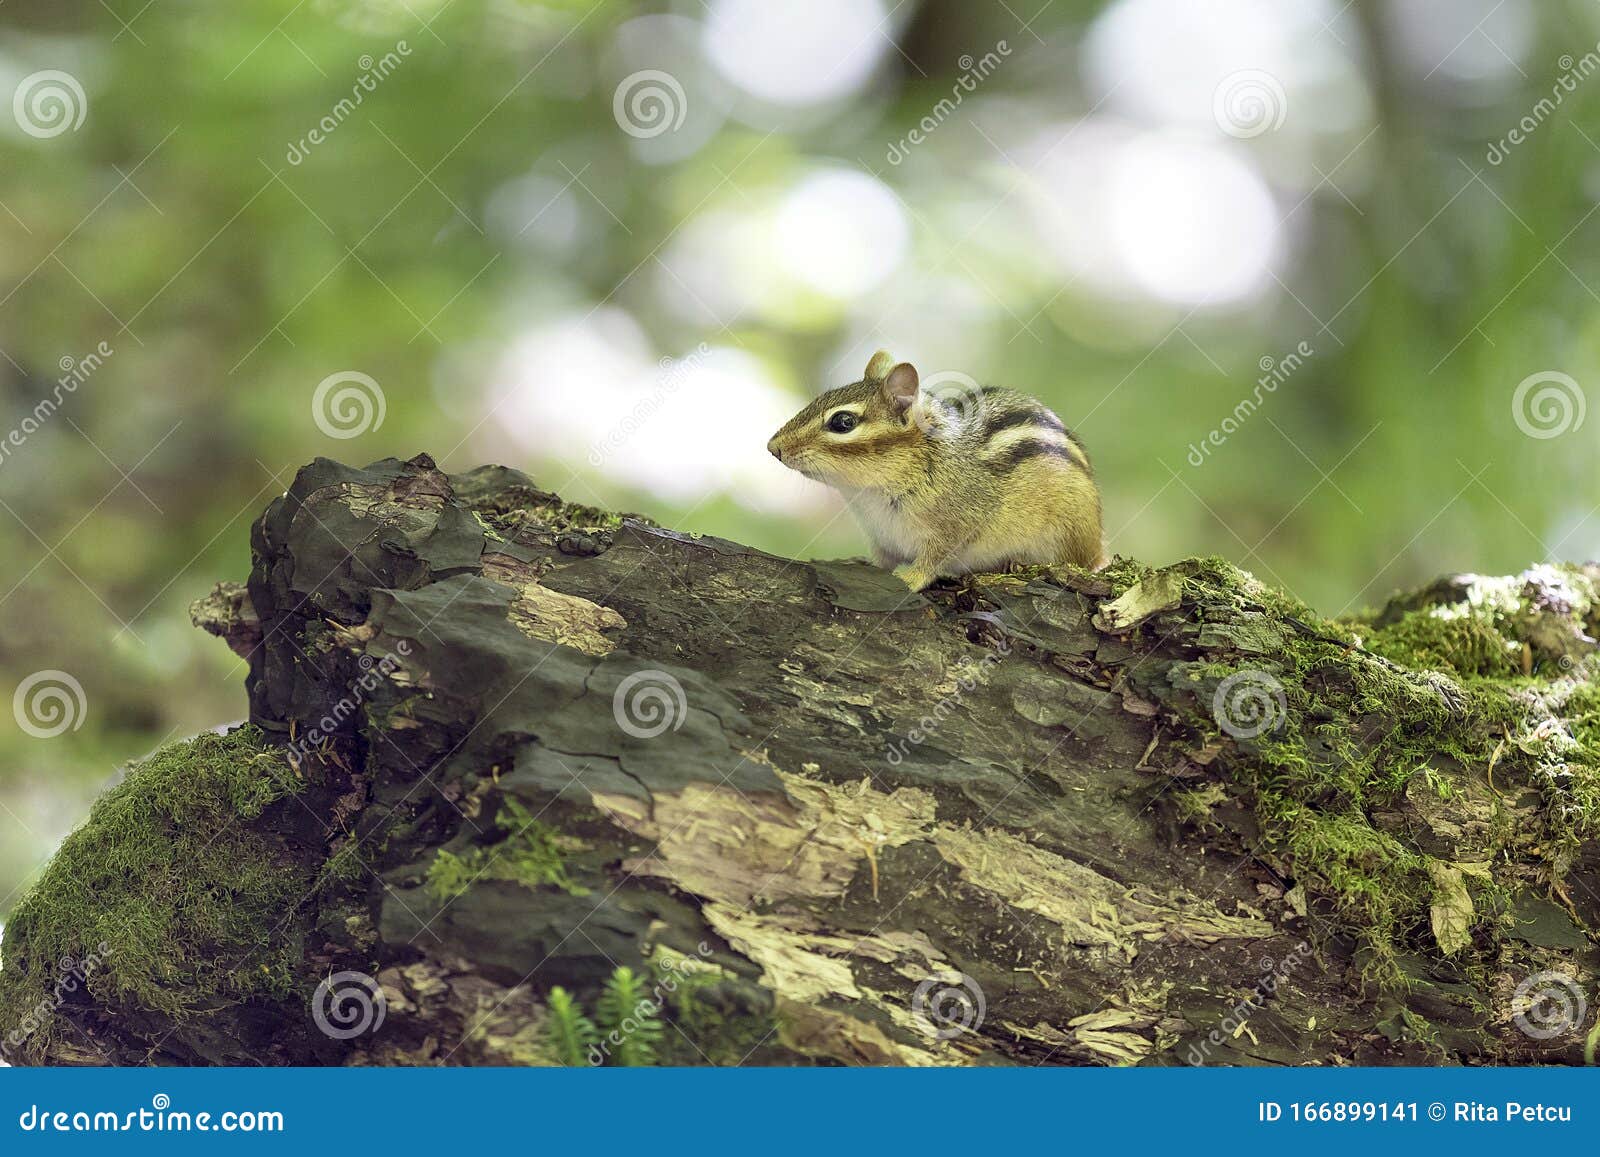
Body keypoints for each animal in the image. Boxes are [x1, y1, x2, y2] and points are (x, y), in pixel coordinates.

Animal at [767, 350, 1106, 591]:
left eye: (843, 422)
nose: (773, 448)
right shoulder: (882, 537)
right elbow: (883, 560)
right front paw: (857, 562)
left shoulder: (958, 525)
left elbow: (934, 560)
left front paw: (910, 578)